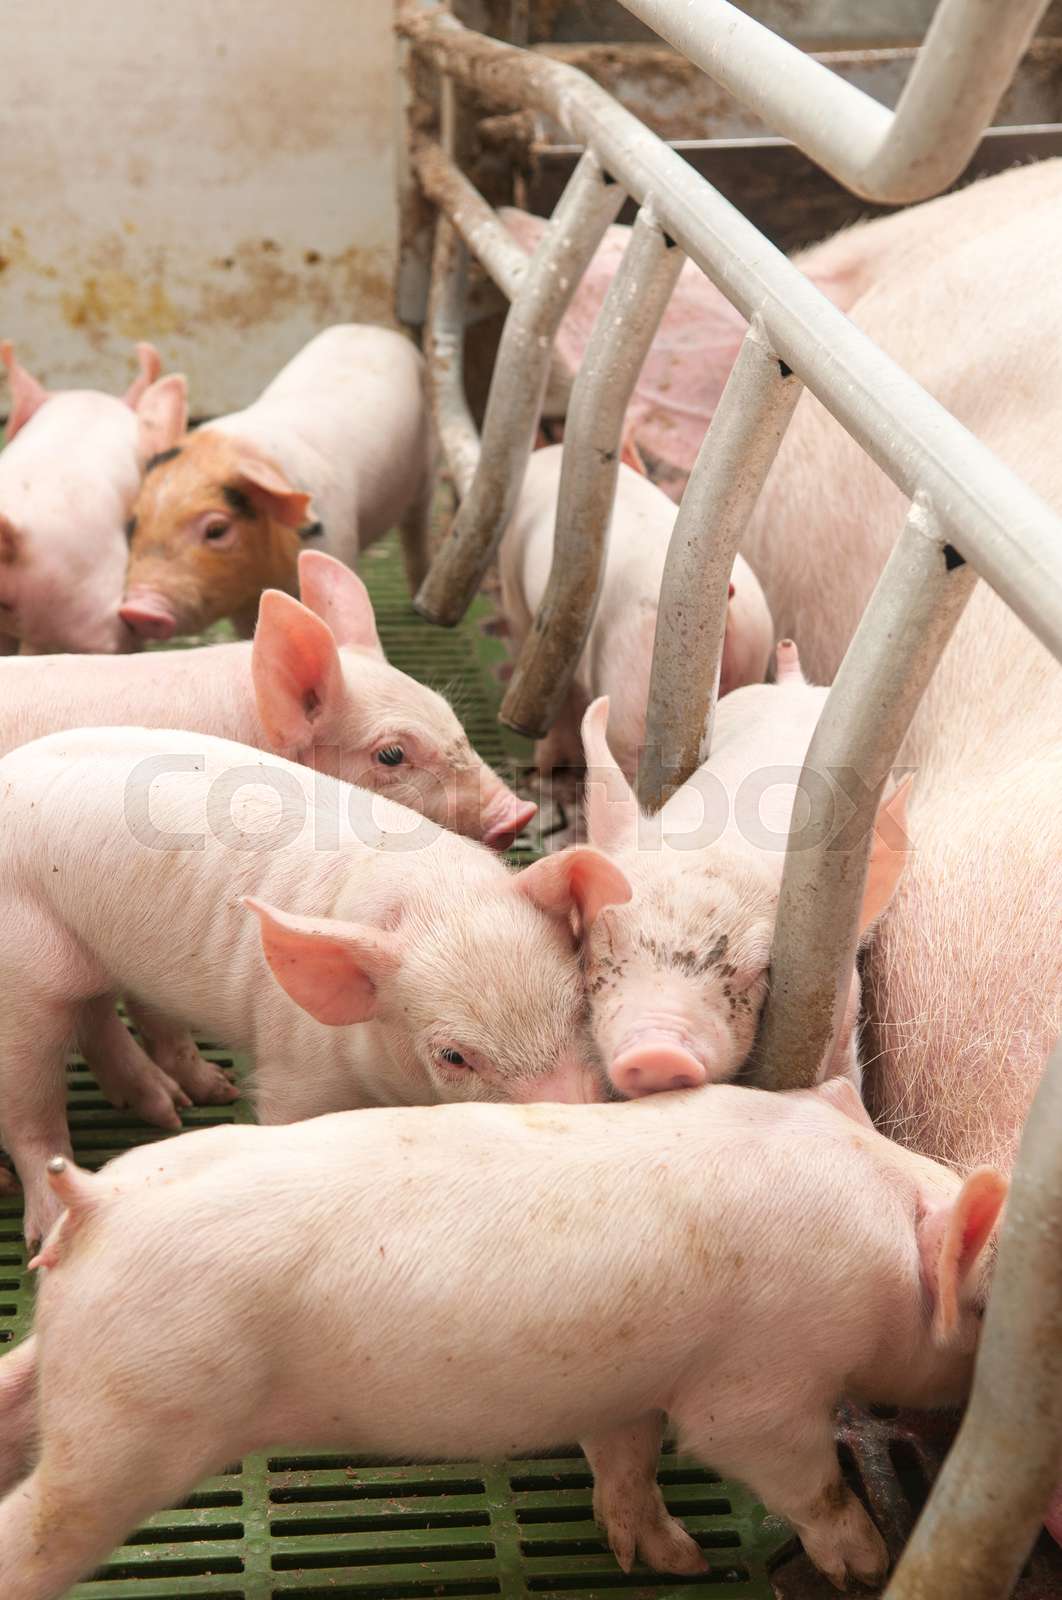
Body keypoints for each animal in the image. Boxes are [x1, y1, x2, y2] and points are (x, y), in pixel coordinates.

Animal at [0, 725, 630, 1245]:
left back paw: (190, 1102)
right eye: (452, 1056)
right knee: (31, 1101)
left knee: (99, 1014)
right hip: (23, 971)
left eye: (579, 1005)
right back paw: (44, 1233)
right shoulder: (295, 1070)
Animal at [0, 1075, 1008, 1600]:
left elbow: (627, 1465)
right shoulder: (763, 1383)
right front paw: (866, 1564)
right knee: (37, 1527)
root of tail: (97, 1204)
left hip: (78, 1371)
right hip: (137, 1414)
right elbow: (791, 1469)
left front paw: (671, 1560)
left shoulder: (627, 1382)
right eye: (985, 1308)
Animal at [121, 324, 434, 641]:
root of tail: (373, 329)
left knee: (416, 526)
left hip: (425, 470)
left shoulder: (337, 542)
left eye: (217, 530)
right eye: (132, 525)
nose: (138, 611)